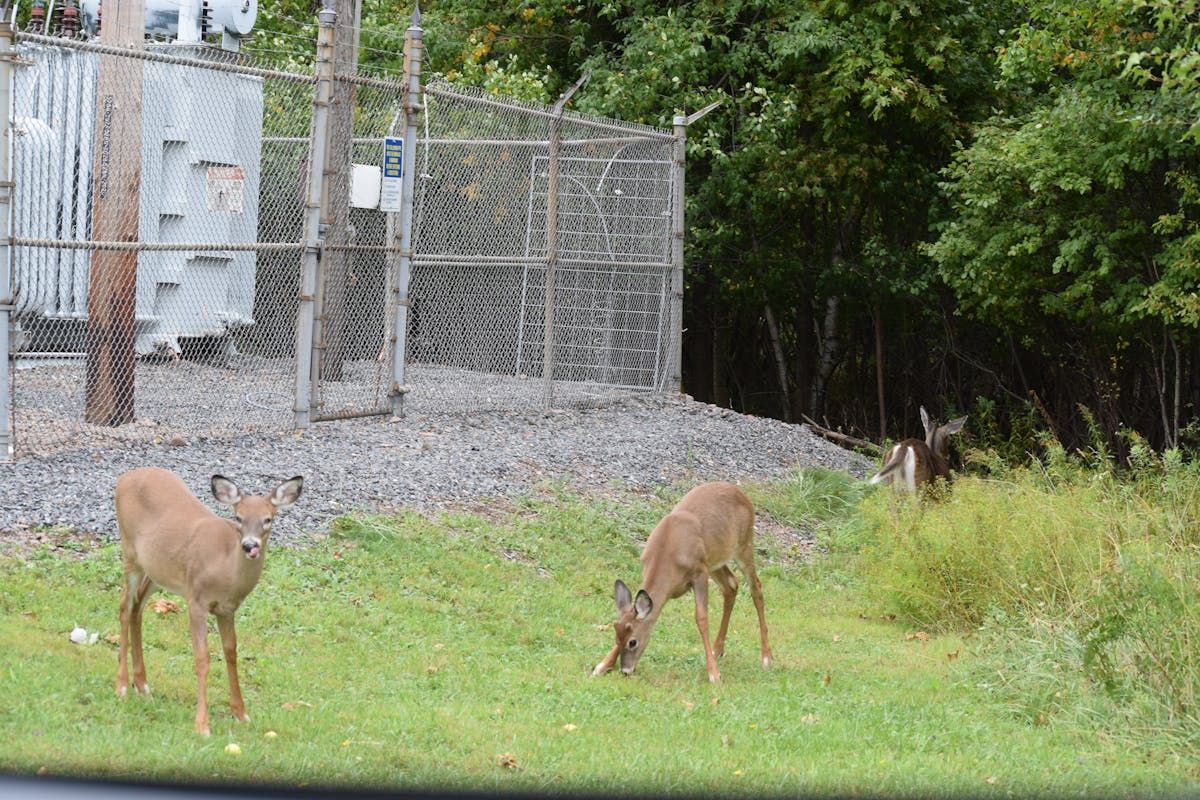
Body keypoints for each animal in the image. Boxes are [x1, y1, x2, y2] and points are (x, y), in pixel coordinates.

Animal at [114, 467, 303, 736]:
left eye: (268, 519)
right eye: (238, 517)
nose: (249, 546)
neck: (224, 568)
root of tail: (126, 477)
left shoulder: (227, 609)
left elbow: (231, 652)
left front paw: (241, 714)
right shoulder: (196, 600)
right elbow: (202, 658)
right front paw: (202, 725)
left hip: (157, 569)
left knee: (137, 606)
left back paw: (142, 685)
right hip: (130, 551)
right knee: (124, 605)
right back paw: (121, 686)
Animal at [592, 481, 772, 684]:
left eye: (633, 642)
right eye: (616, 637)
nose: (625, 670)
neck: (667, 555)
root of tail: (740, 492)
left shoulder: (699, 573)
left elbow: (701, 618)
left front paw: (714, 674)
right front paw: (602, 665)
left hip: (744, 545)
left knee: (756, 588)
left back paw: (766, 657)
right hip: (715, 561)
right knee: (731, 584)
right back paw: (717, 650)